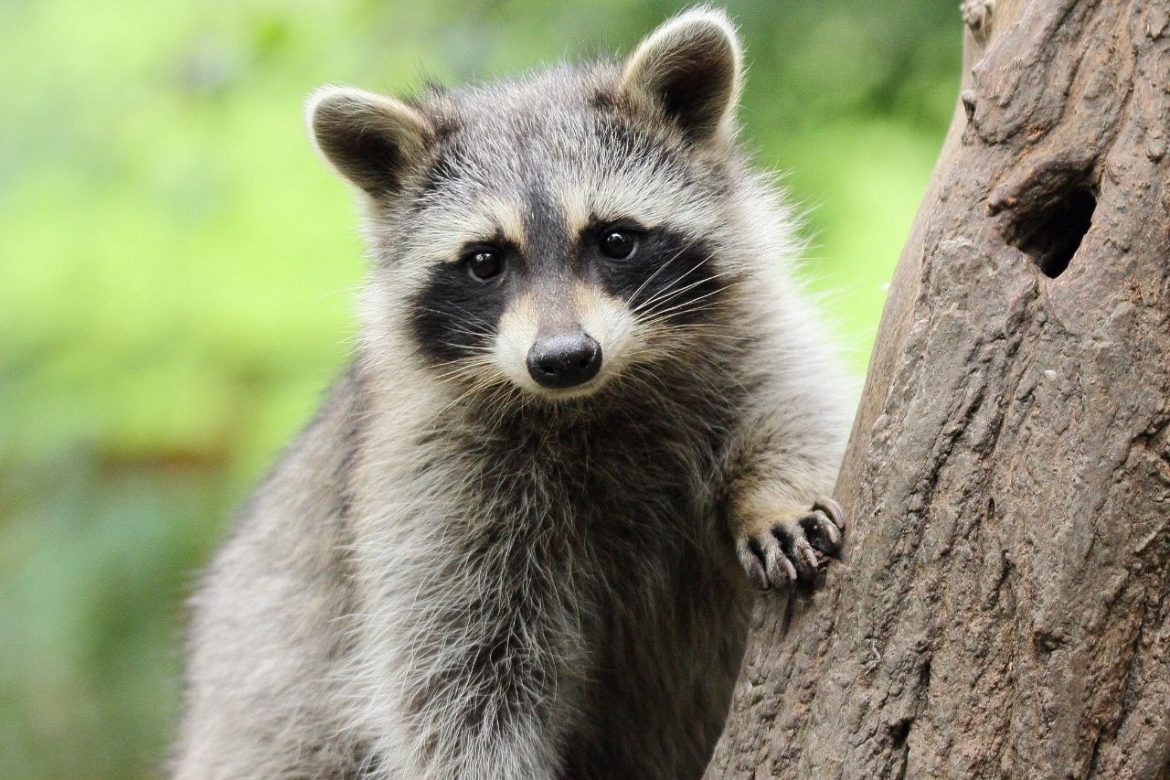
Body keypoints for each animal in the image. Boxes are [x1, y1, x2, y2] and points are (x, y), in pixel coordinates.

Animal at [173, 8, 853, 779]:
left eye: (615, 239)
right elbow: (457, 678)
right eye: (484, 261)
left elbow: (798, 408)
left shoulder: (752, 337)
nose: (563, 359)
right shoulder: (432, 482)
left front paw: (773, 493)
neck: (593, 399)